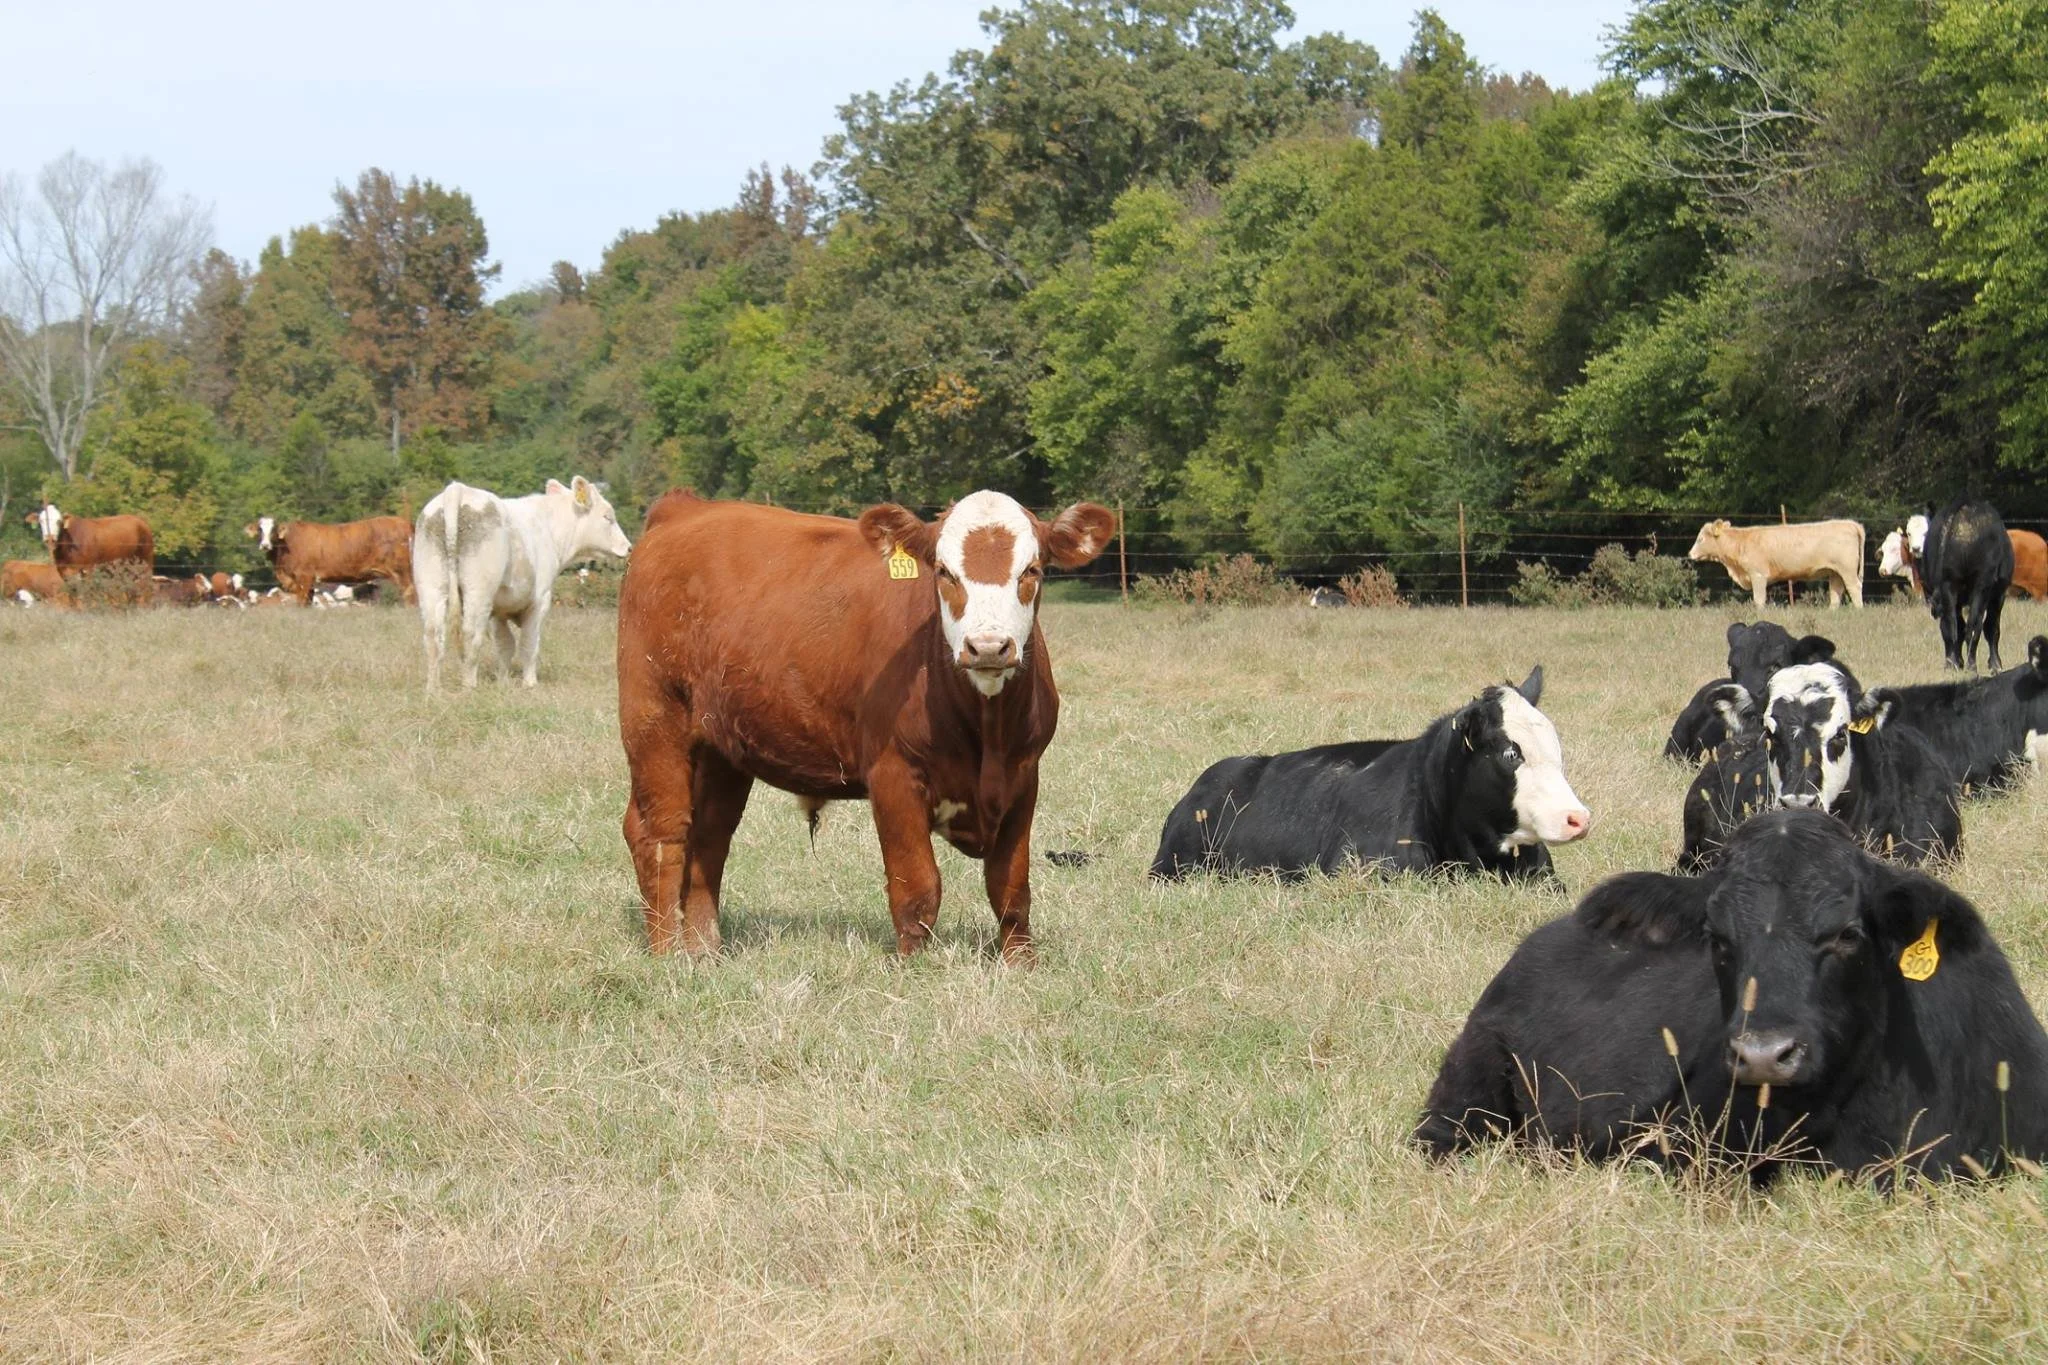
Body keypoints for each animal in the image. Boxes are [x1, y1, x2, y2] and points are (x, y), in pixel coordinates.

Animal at [244, 514, 414, 605]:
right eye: (260, 530)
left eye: (273, 530)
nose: (265, 545)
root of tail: (405, 523)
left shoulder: (304, 577)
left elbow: (301, 602)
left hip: (403, 572)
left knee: (410, 594)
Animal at [415, 478, 630, 688]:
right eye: (607, 517)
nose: (628, 547)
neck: (551, 530)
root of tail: (458, 489)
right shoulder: (540, 600)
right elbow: (529, 643)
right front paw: (529, 683)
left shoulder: (499, 610)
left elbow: (505, 644)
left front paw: (503, 682)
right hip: (478, 591)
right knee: (471, 633)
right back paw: (469, 686)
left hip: (431, 584)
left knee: (433, 634)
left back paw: (433, 689)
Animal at [616, 489, 1117, 959]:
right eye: (943, 572)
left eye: (1031, 570)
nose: (988, 646)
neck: (986, 733)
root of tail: (684, 507)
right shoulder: (893, 775)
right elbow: (917, 890)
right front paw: (914, 970)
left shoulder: (1024, 776)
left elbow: (1010, 889)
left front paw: (1020, 965)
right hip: (653, 721)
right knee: (660, 834)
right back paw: (668, 953)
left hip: (721, 747)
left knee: (709, 835)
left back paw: (704, 950)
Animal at [1687, 519, 1866, 608]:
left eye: (1700, 539)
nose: (1690, 554)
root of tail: (1850, 523)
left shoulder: (1758, 575)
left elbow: (1759, 600)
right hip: (1835, 572)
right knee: (1836, 593)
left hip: (1847, 570)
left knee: (1855, 587)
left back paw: (1858, 610)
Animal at [1915, 499, 2013, 671]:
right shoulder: (1998, 594)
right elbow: (1991, 628)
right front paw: (1995, 664)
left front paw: (1958, 661)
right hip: (1981, 586)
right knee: (1974, 625)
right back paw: (1971, 665)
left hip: (1949, 585)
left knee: (1950, 626)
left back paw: (1951, 664)